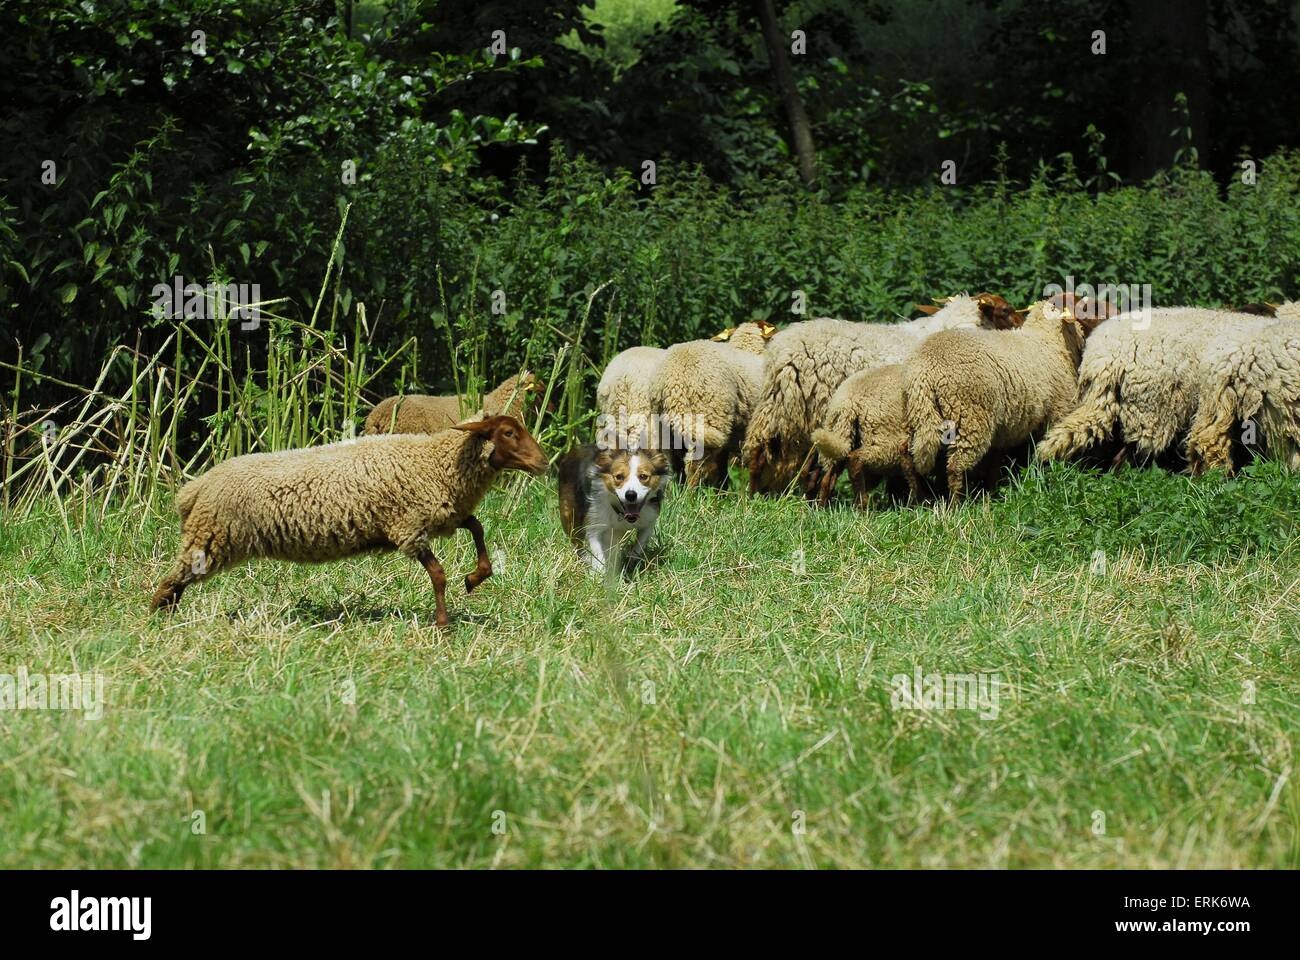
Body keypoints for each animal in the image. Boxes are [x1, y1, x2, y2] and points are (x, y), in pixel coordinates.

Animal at [149, 415, 548, 627]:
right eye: (509, 433)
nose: (544, 462)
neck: (437, 463)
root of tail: (195, 488)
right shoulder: (409, 527)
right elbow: (438, 574)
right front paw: (443, 624)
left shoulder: (440, 515)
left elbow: (477, 527)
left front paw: (475, 577)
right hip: (212, 538)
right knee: (171, 579)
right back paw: (156, 618)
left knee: (177, 581)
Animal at [650, 320, 776, 486]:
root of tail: (675, 380)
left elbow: (723, 465)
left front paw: (722, 489)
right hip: (709, 415)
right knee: (694, 464)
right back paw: (691, 492)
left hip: (667, 426)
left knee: (676, 463)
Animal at [809, 364, 921, 507]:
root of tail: (848, 403)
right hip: (883, 440)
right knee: (856, 461)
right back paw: (864, 506)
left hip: (843, 434)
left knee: (829, 476)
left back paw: (821, 506)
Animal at [905, 295, 1103, 502]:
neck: (1047, 340)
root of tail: (926, 370)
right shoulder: (1057, 411)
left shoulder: (1003, 430)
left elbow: (995, 464)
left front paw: (992, 493)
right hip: (969, 416)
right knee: (955, 466)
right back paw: (957, 504)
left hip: (922, 415)